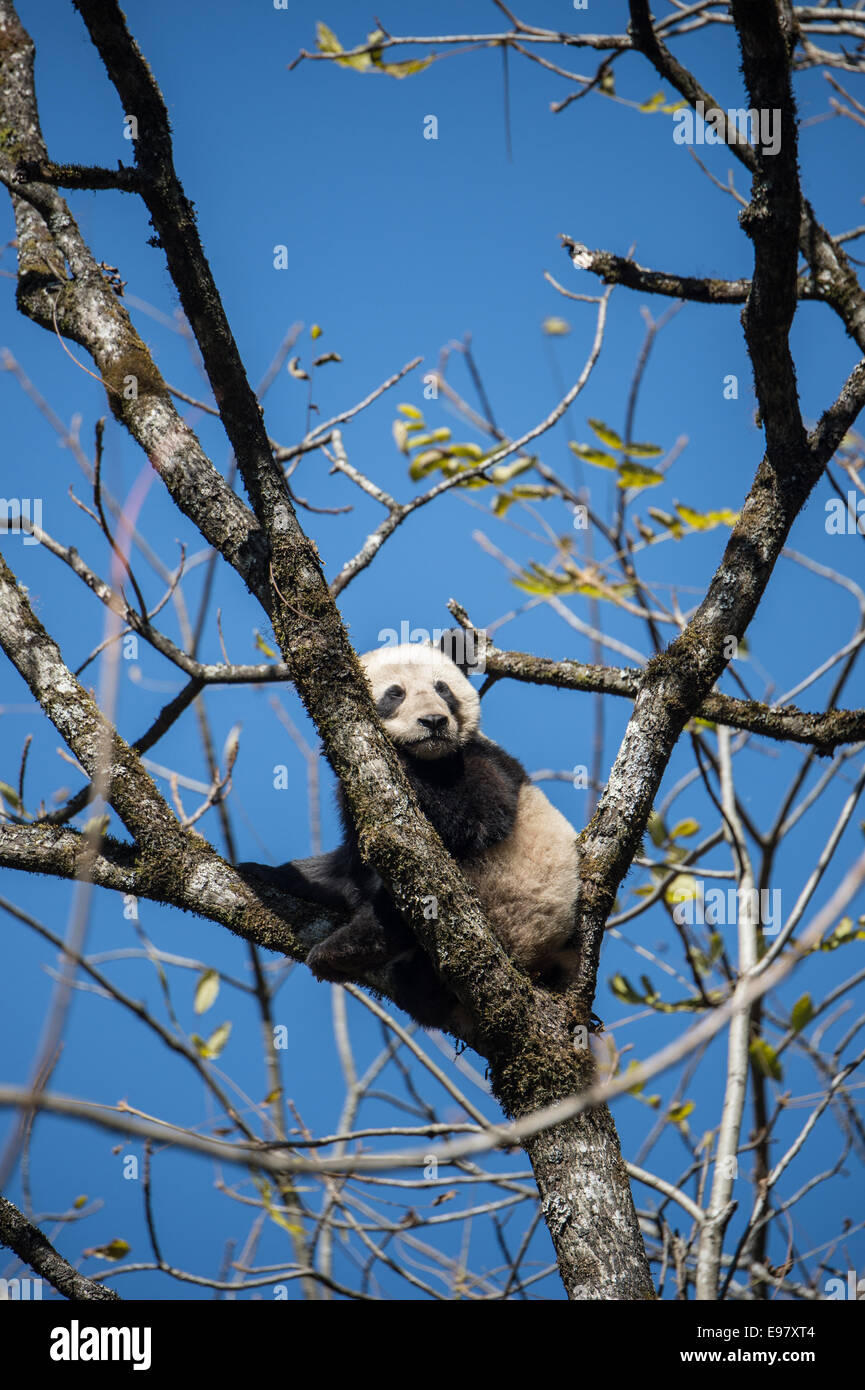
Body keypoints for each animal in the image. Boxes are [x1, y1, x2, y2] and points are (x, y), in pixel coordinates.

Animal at [241, 638, 581, 1030]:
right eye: (395, 693)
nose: (433, 722)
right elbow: (349, 865)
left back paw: (345, 950)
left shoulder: (479, 761)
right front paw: (264, 872)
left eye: (442, 688)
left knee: (412, 904)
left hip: (501, 897)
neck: (430, 756)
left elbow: (477, 820)